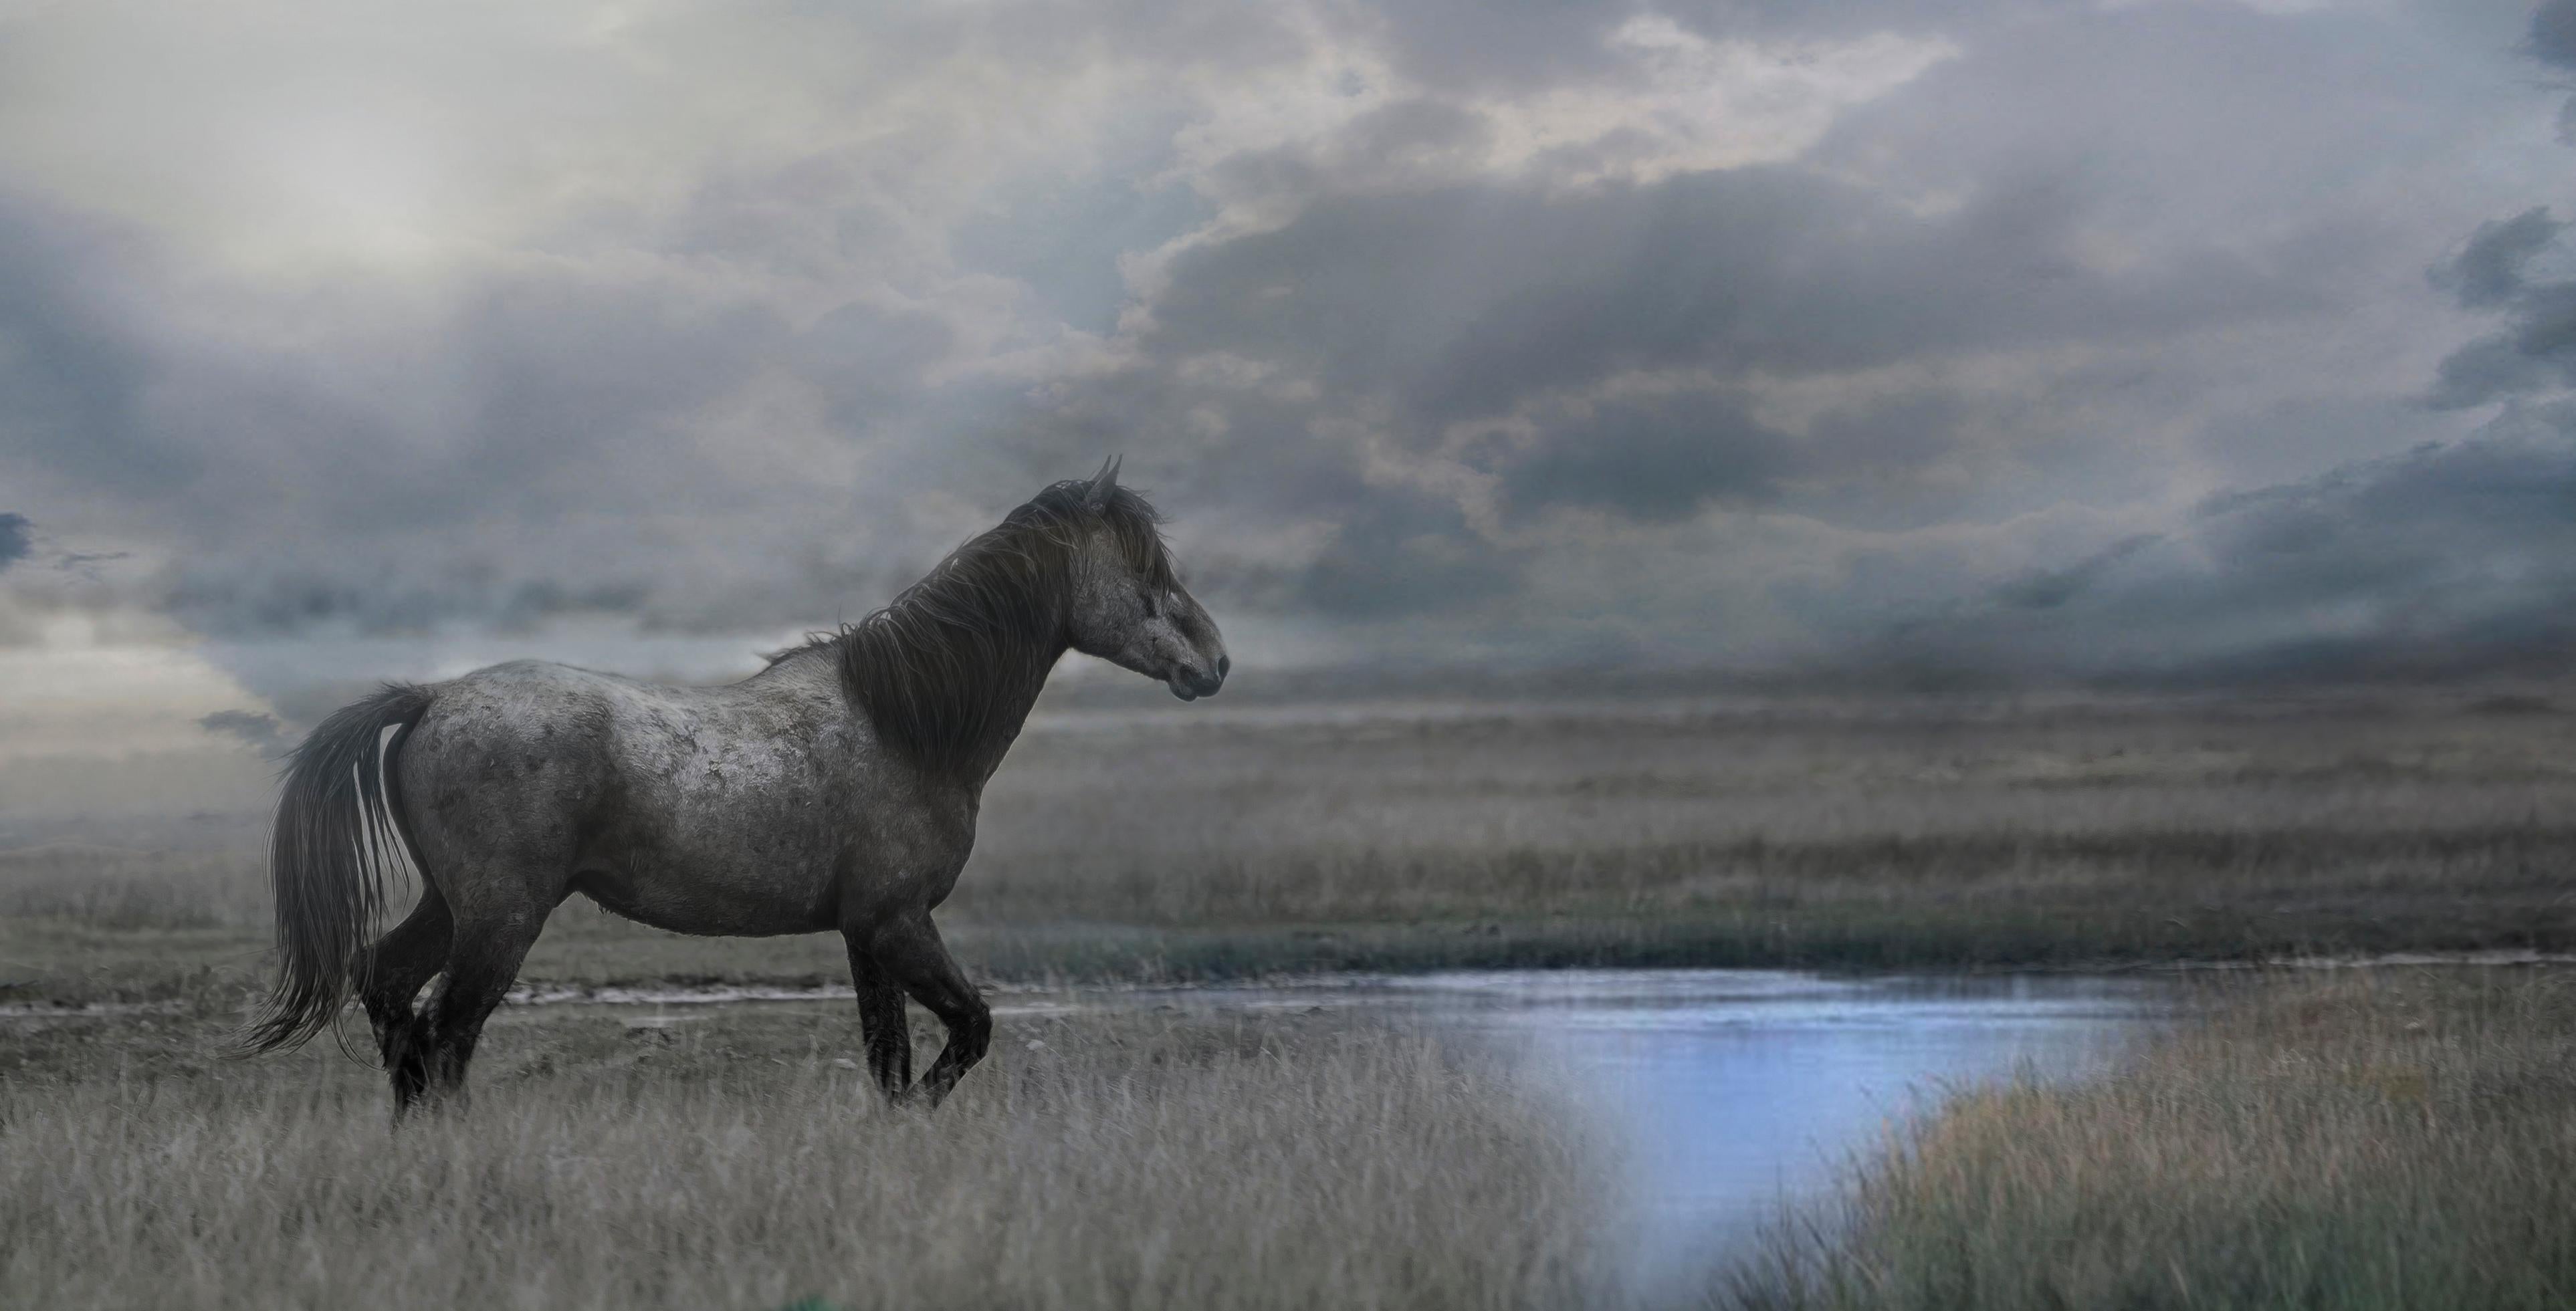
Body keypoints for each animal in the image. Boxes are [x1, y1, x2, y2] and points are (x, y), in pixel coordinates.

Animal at [241, 460, 1228, 1115]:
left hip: (454, 907)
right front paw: (920, 1114)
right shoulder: (898, 922)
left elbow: (888, 1055)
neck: (904, 722)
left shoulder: (865, 934)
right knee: (446, 1037)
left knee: (390, 991)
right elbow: (970, 1030)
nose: (1214, 663)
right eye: (1147, 570)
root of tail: (434, 697)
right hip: (500, 917)